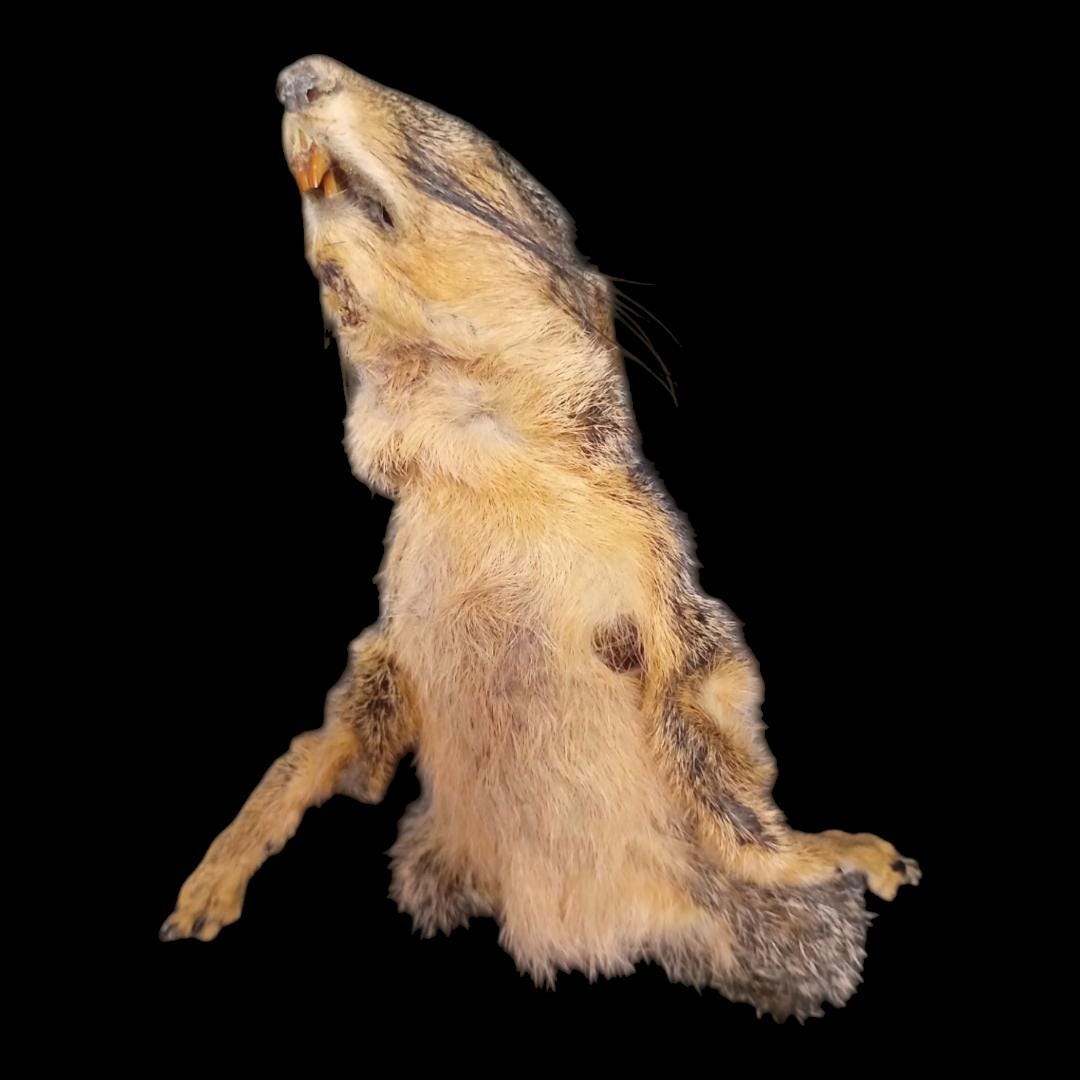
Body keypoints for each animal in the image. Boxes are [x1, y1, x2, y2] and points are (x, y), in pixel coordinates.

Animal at [160, 55, 920, 1021]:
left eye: (466, 138)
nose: (297, 75)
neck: (480, 466)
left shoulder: (685, 628)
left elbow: (736, 781)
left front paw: (842, 849)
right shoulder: (387, 642)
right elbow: (315, 754)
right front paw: (213, 880)